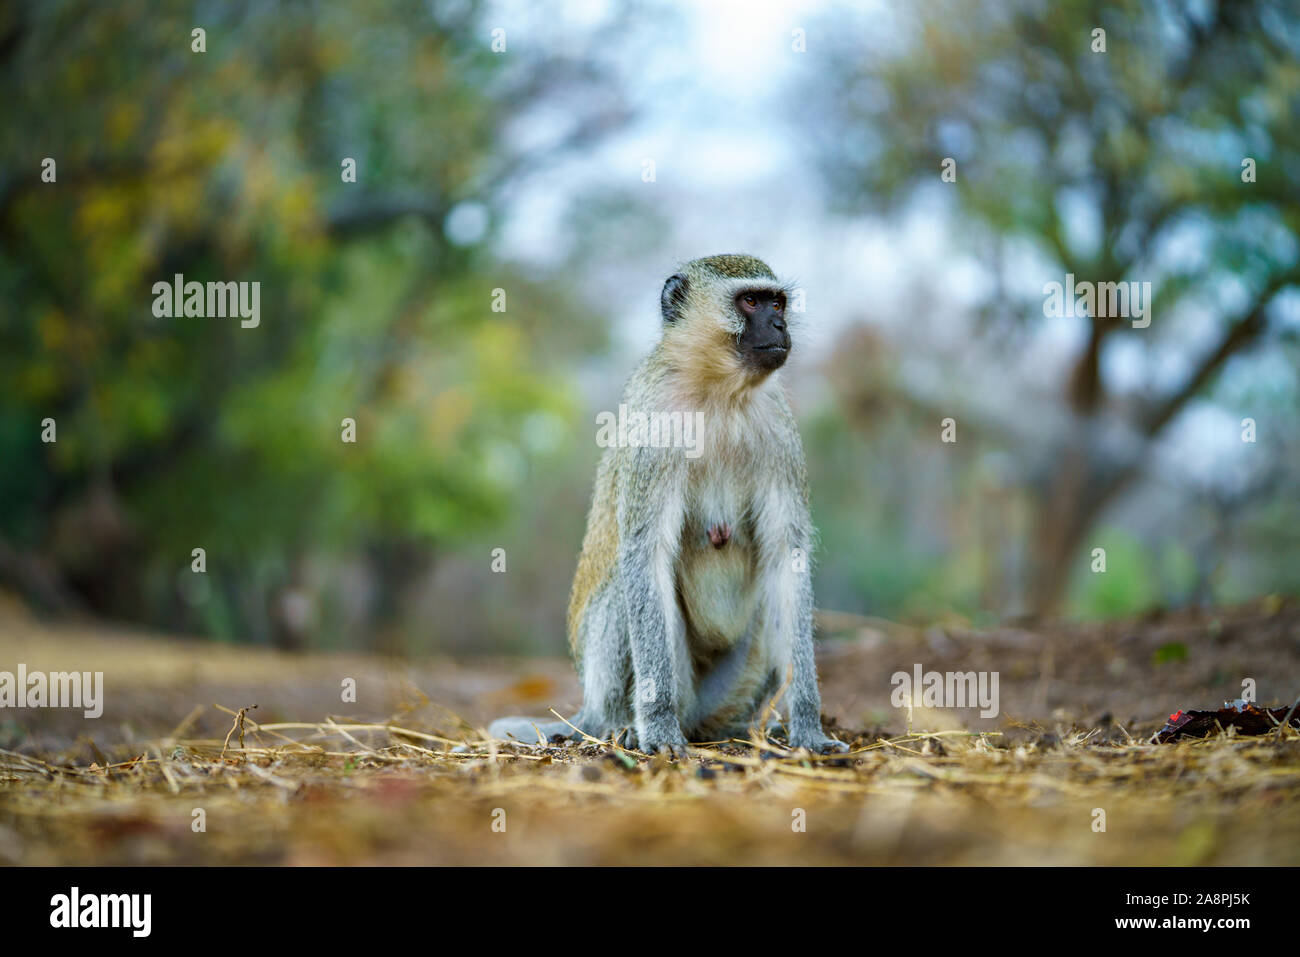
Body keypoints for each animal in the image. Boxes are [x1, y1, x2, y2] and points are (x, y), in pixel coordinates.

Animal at [489, 254, 847, 756]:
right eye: (750, 301)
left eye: (777, 302)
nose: (779, 325)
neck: (719, 394)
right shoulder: (654, 429)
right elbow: (646, 555)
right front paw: (657, 728)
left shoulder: (780, 433)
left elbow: (784, 560)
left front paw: (809, 726)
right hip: (627, 683)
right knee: (627, 590)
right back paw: (625, 724)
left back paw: (733, 727)